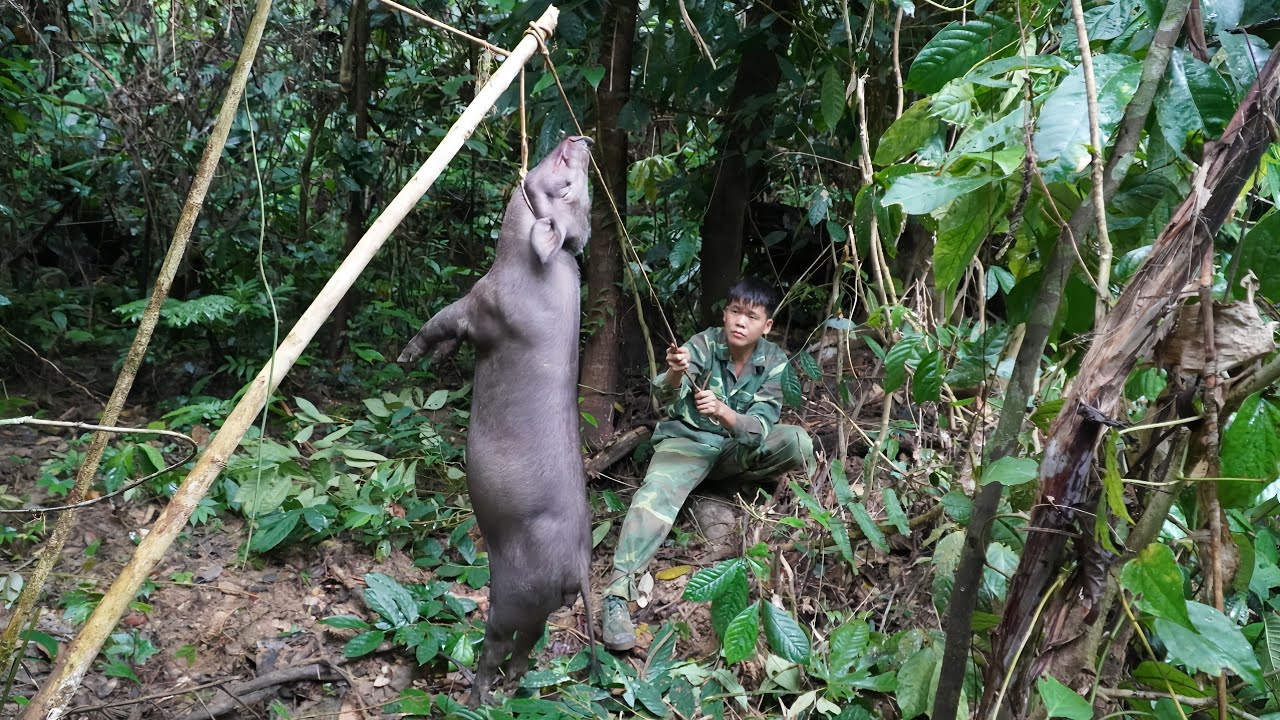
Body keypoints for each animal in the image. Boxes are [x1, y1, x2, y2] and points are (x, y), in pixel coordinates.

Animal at [397, 136, 596, 706]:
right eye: (584, 196)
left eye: (567, 187)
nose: (581, 141)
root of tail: (579, 569)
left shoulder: (481, 304)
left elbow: (439, 321)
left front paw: (407, 358)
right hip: (543, 608)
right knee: (529, 649)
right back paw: (511, 690)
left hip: (512, 595)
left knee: (497, 643)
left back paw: (475, 696)